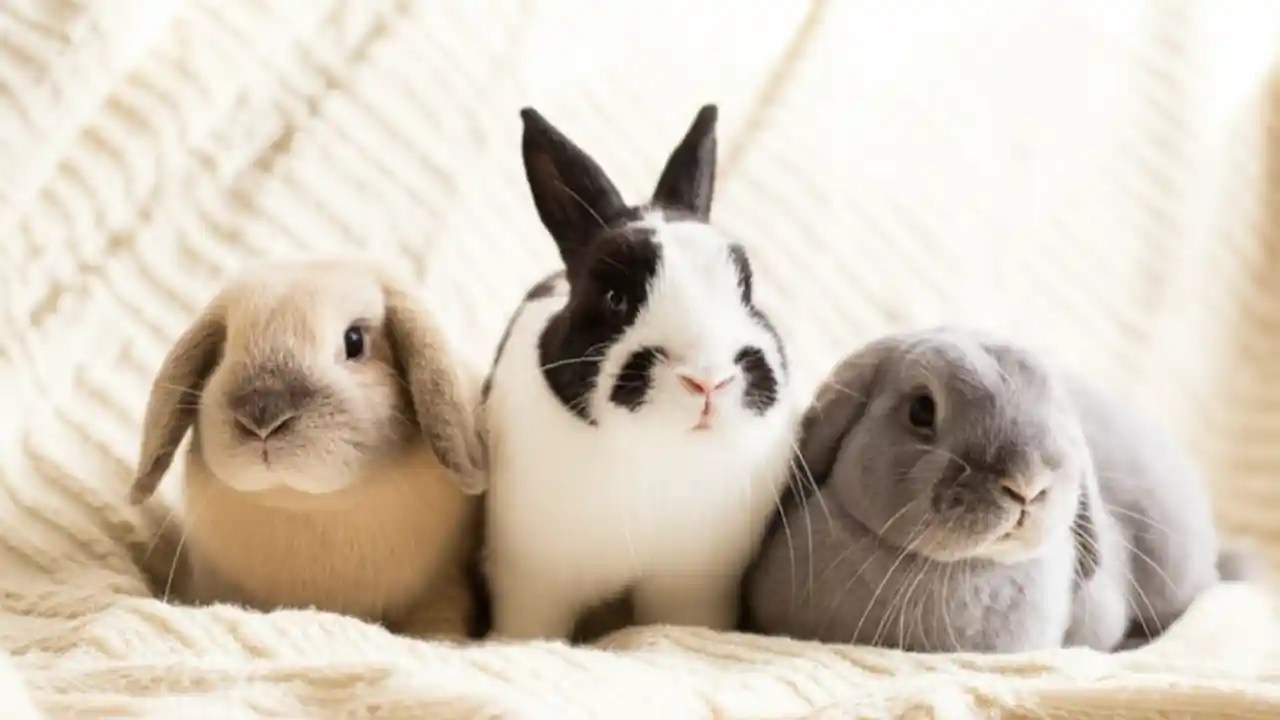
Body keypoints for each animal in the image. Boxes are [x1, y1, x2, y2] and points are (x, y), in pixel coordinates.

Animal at [480, 105, 799, 640]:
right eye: (615, 299)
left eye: (746, 290)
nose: (708, 380)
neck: (655, 452)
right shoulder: (530, 580)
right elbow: (530, 629)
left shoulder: (694, 587)